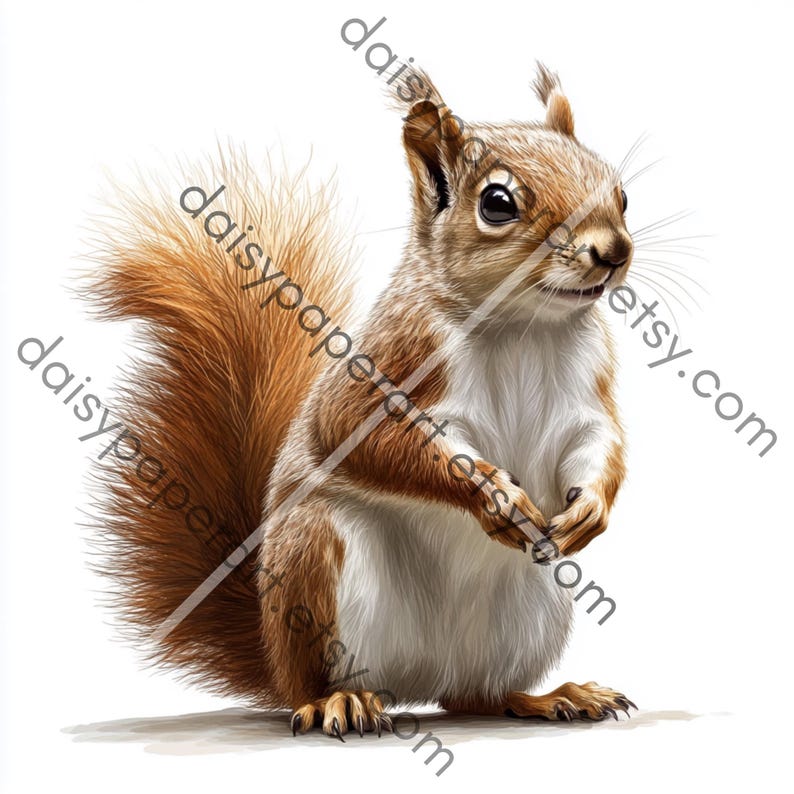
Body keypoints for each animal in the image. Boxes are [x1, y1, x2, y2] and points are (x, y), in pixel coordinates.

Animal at [83, 63, 637, 738]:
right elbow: (368, 435)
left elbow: (600, 440)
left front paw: (590, 510)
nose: (613, 251)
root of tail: (416, 685)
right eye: (498, 203)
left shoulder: (589, 388)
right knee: (320, 683)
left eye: (620, 192)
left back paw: (549, 697)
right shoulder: (386, 368)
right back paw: (338, 702)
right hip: (316, 561)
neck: (527, 325)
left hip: (533, 610)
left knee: (478, 696)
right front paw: (492, 495)